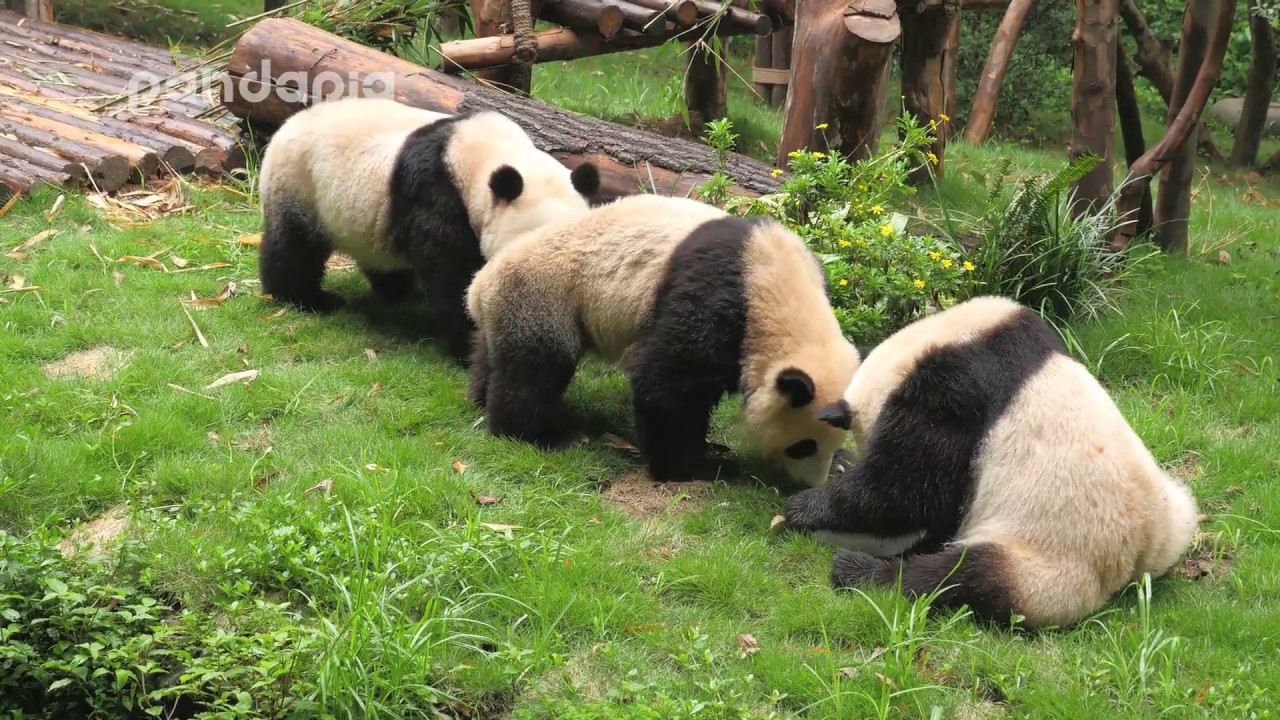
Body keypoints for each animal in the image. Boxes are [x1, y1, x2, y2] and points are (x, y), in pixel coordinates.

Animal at [255, 97, 601, 359]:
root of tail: (288, 124)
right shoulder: (435, 193)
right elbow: (451, 272)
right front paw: (470, 343)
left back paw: (401, 293)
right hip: (300, 182)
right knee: (295, 246)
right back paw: (304, 298)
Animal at [465, 193, 862, 487]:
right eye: (803, 446)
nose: (809, 483)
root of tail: (478, 288)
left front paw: (842, 465)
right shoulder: (717, 298)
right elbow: (668, 381)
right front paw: (696, 467)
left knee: (495, 355)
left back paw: (482, 393)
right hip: (544, 295)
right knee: (536, 368)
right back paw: (543, 435)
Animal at [783, 295, 1200, 629]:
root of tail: (1131, 564)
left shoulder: (949, 397)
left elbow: (905, 489)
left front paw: (805, 507)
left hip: (1045, 565)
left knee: (964, 578)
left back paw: (862, 571)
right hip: (1173, 510)